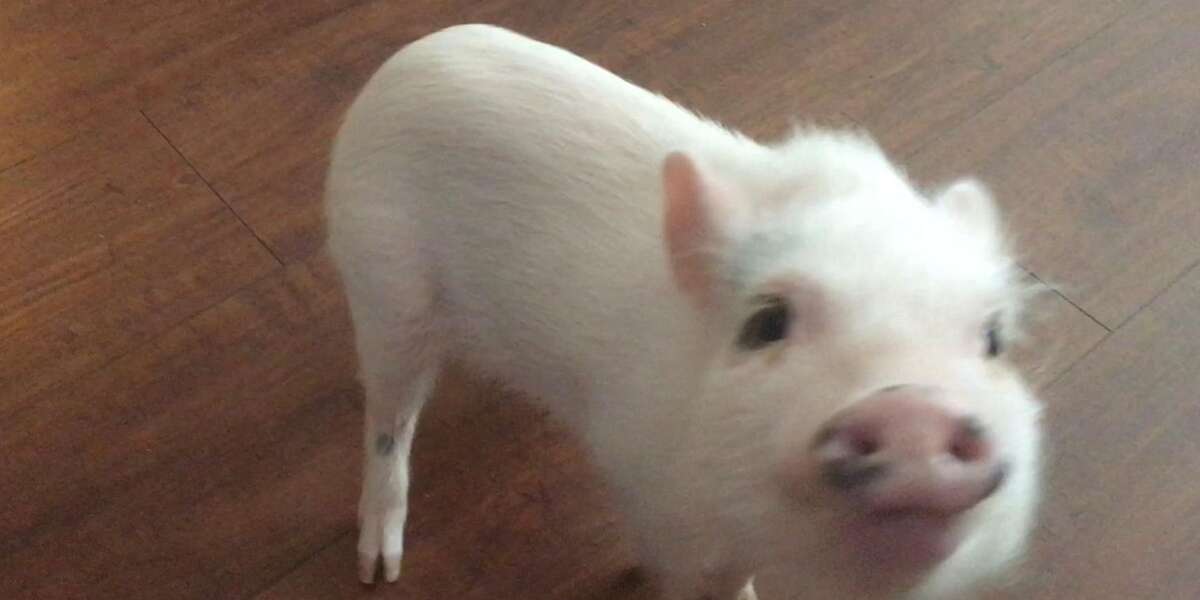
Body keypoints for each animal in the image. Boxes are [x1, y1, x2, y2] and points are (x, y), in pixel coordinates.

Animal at [324, 24, 1044, 600]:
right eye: (766, 323)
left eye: (993, 339)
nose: (914, 408)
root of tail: (409, 59)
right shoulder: (647, 490)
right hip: (383, 281)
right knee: (388, 417)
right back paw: (378, 570)